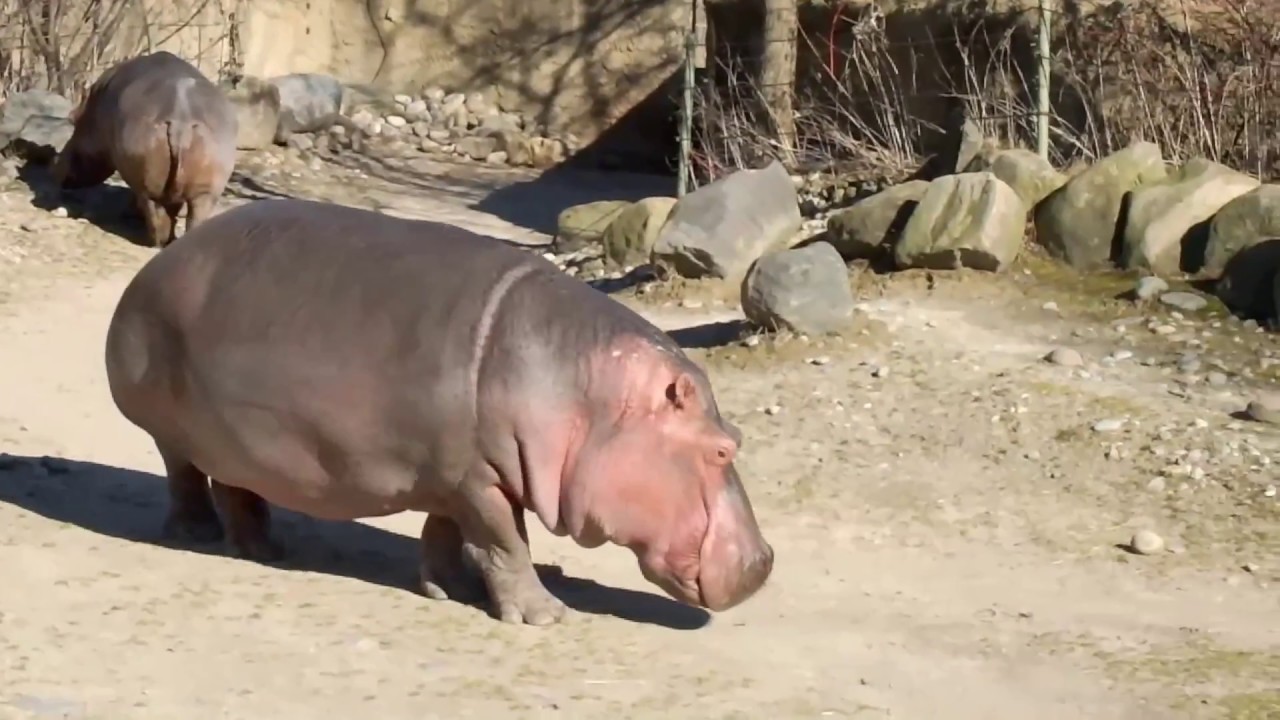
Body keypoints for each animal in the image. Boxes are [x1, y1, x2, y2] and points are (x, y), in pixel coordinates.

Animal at [53, 51, 238, 248]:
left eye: (72, 118)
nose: (54, 162)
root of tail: (180, 123)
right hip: (206, 188)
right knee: (192, 217)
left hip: (151, 185)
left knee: (156, 217)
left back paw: (153, 241)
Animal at [103, 198, 774, 625]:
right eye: (721, 450)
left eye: (738, 436)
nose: (765, 561)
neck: (587, 394)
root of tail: (155, 265)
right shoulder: (480, 478)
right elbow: (507, 544)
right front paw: (547, 617)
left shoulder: (457, 475)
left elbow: (447, 534)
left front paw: (446, 591)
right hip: (168, 425)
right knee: (183, 474)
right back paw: (196, 535)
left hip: (237, 437)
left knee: (236, 486)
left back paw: (264, 550)